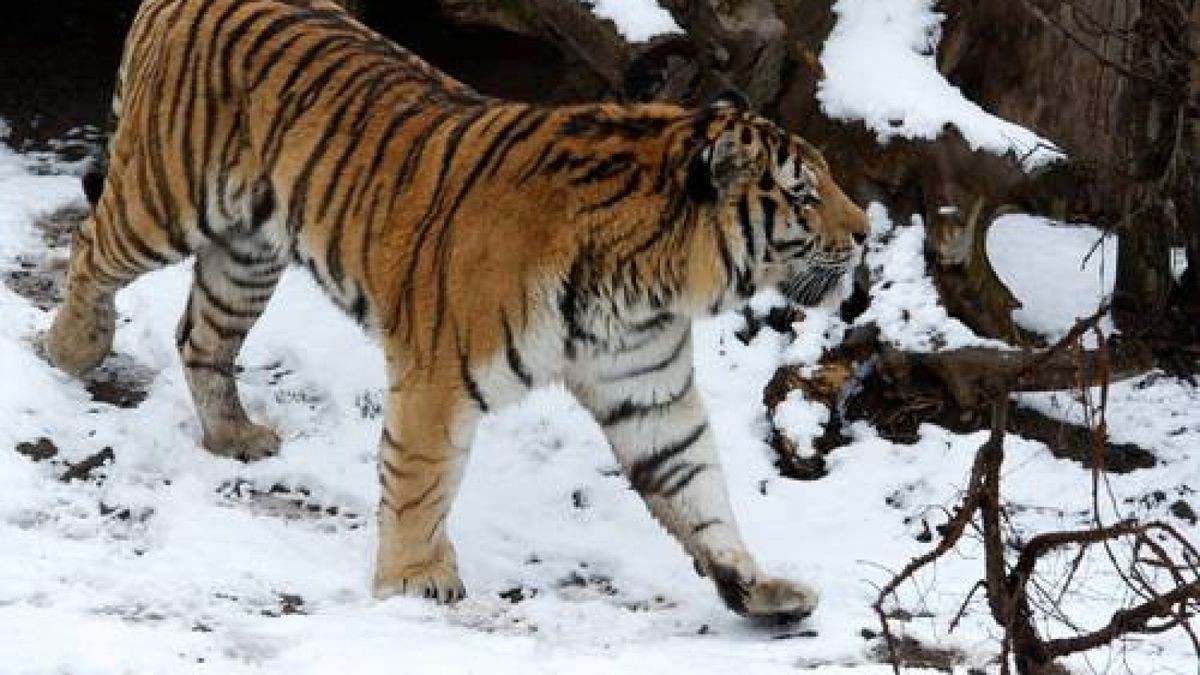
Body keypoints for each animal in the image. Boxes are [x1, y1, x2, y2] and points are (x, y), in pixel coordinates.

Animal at [45, 0, 868, 621]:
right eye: (804, 194)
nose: (865, 232)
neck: (656, 280)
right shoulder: (436, 376)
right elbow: (421, 477)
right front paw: (415, 579)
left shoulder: (648, 389)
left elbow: (699, 489)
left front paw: (756, 587)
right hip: (163, 197)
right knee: (88, 249)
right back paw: (72, 348)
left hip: (246, 255)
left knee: (201, 336)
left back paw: (233, 436)